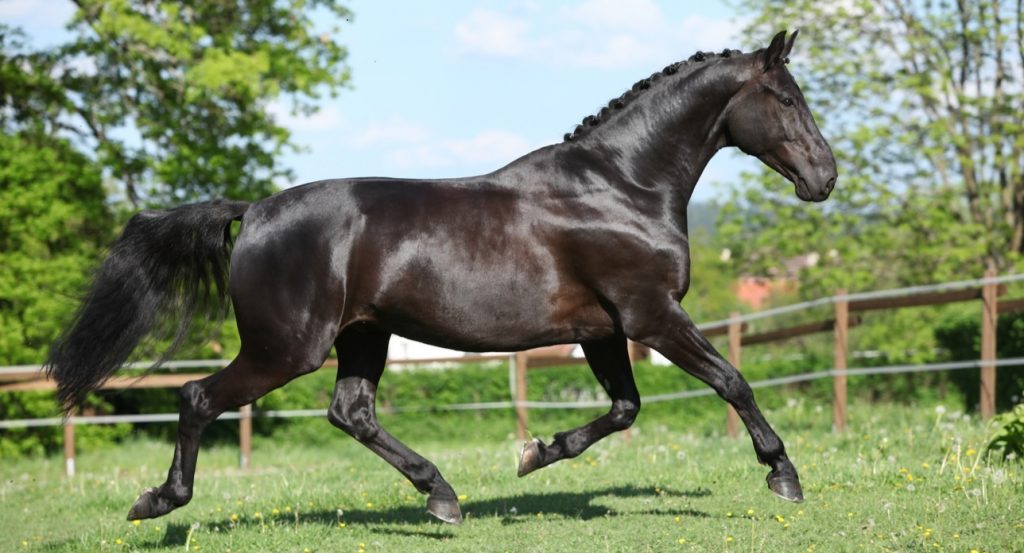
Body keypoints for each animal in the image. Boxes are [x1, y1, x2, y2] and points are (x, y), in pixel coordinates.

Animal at [46, 30, 836, 525]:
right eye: (788, 99)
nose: (824, 178)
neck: (621, 187)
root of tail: (255, 209)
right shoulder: (652, 315)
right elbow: (732, 380)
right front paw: (784, 476)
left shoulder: (604, 330)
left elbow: (623, 410)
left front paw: (534, 454)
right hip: (286, 347)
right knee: (199, 397)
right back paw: (158, 502)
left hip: (363, 336)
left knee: (351, 413)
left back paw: (443, 497)